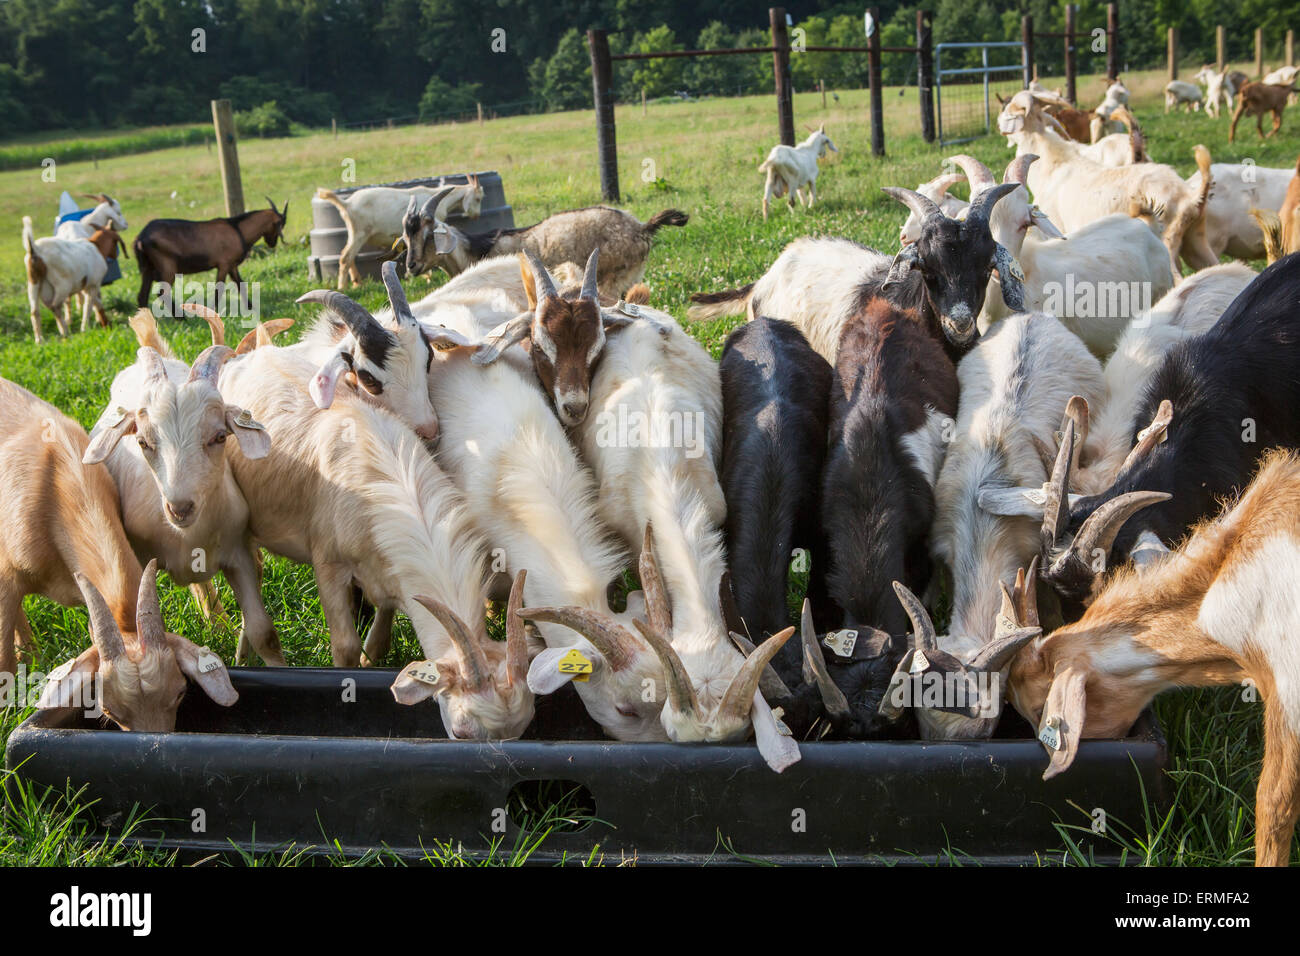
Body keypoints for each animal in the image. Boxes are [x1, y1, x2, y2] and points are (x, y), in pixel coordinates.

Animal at [134, 200, 287, 310]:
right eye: (280, 225)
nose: (272, 243)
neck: (238, 230)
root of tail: (141, 237)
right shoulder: (224, 264)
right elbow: (219, 289)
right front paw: (213, 311)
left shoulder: (232, 266)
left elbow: (240, 284)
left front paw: (251, 307)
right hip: (167, 266)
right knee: (161, 292)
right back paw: (181, 317)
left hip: (147, 268)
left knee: (142, 295)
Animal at [219, 343, 533, 739]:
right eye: (461, 731)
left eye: (523, 732)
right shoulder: (330, 563)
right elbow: (346, 646)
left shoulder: (387, 568)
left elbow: (382, 626)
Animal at [403, 204, 687, 297]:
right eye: (405, 238)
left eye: (428, 236)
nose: (411, 266)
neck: (475, 251)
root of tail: (642, 228)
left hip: (612, 277)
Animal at [997, 91, 1217, 276]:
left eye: (1011, 110)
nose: (999, 127)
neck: (1054, 163)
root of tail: (1191, 196)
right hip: (1195, 241)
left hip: (1170, 240)